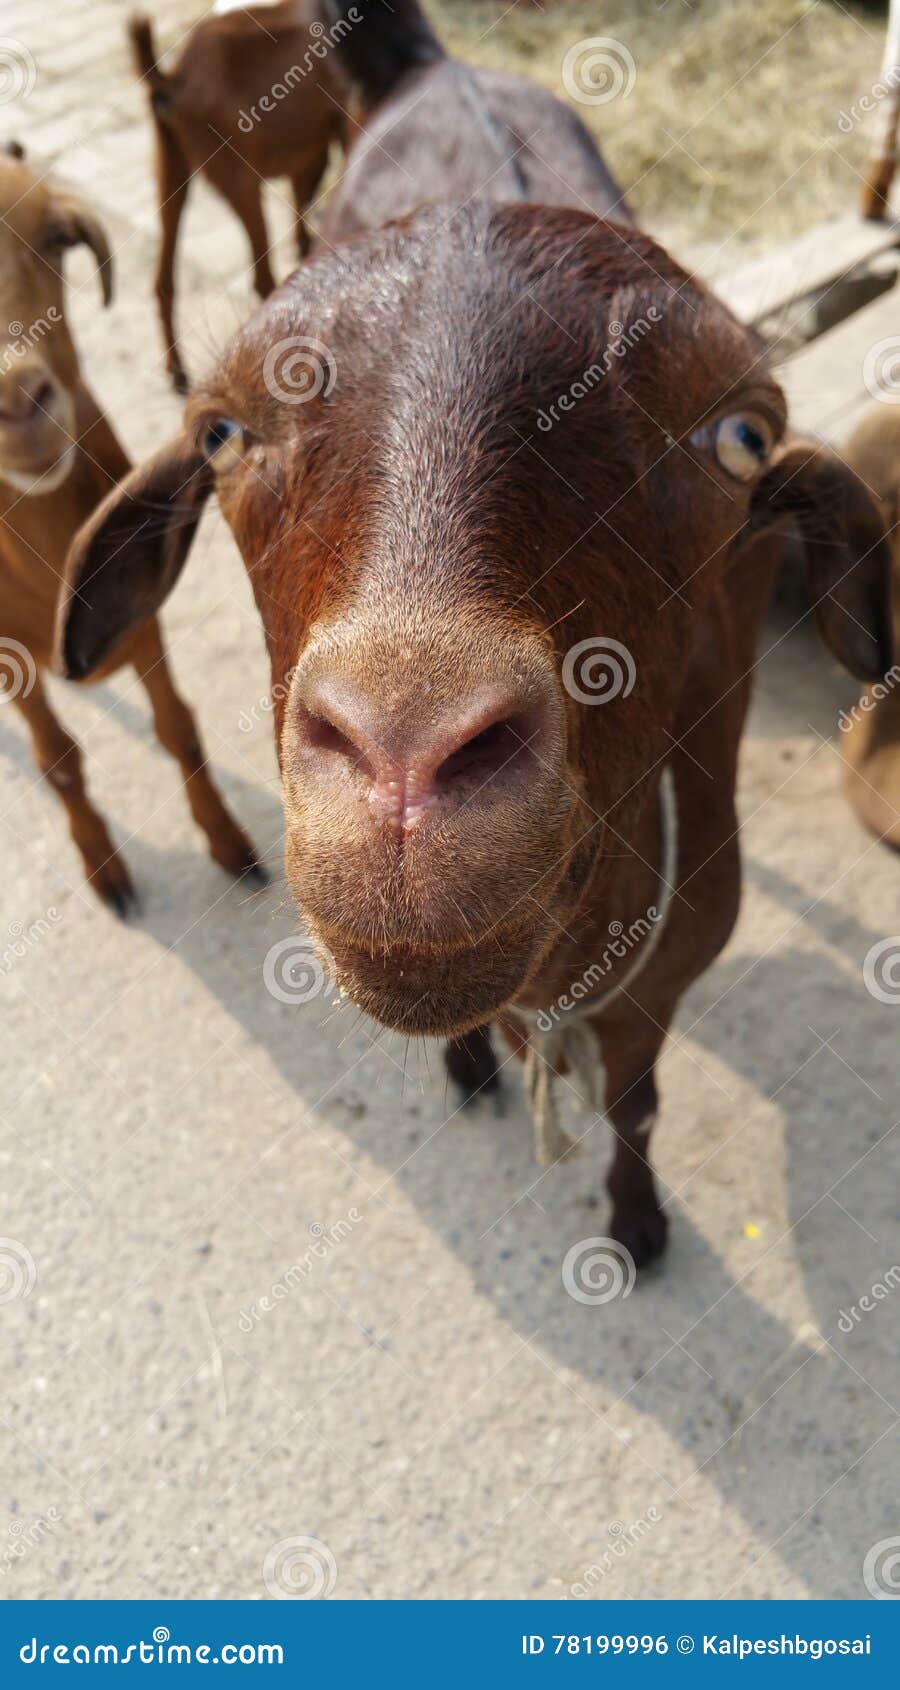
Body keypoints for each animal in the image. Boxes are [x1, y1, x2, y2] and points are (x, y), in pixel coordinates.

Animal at [0, 145, 261, 910]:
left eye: (57, 238)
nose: (19, 400)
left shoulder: (138, 615)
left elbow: (179, 729)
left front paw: (228, 843)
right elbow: (58, 761)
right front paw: (103, 870)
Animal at [129, 1, 345, 393]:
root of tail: (171, 79)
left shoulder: (312, 144)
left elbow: (305, 186)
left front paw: (306, 245)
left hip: (170, 162)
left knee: (163, 273)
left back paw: (176, 371)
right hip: (235, 168)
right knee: (262, 279)